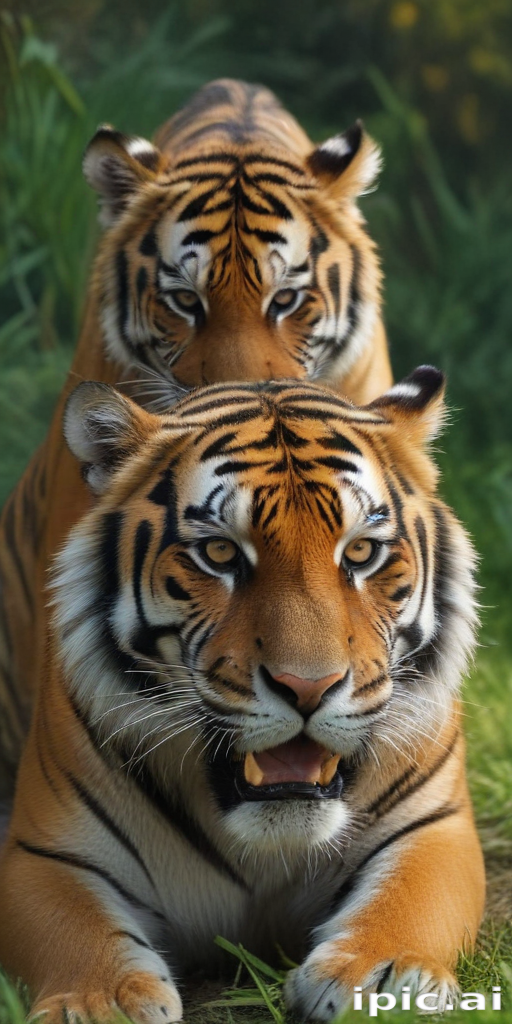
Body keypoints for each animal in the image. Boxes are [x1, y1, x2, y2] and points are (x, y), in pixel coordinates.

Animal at [0, 368, 485, 1022]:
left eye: (361, 552)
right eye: (220, 552)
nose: (308, 687)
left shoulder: (436, 826)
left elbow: (409, 902)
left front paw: (381, 979)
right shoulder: (45, 854)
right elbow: (75, 931)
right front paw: (99, 1002)